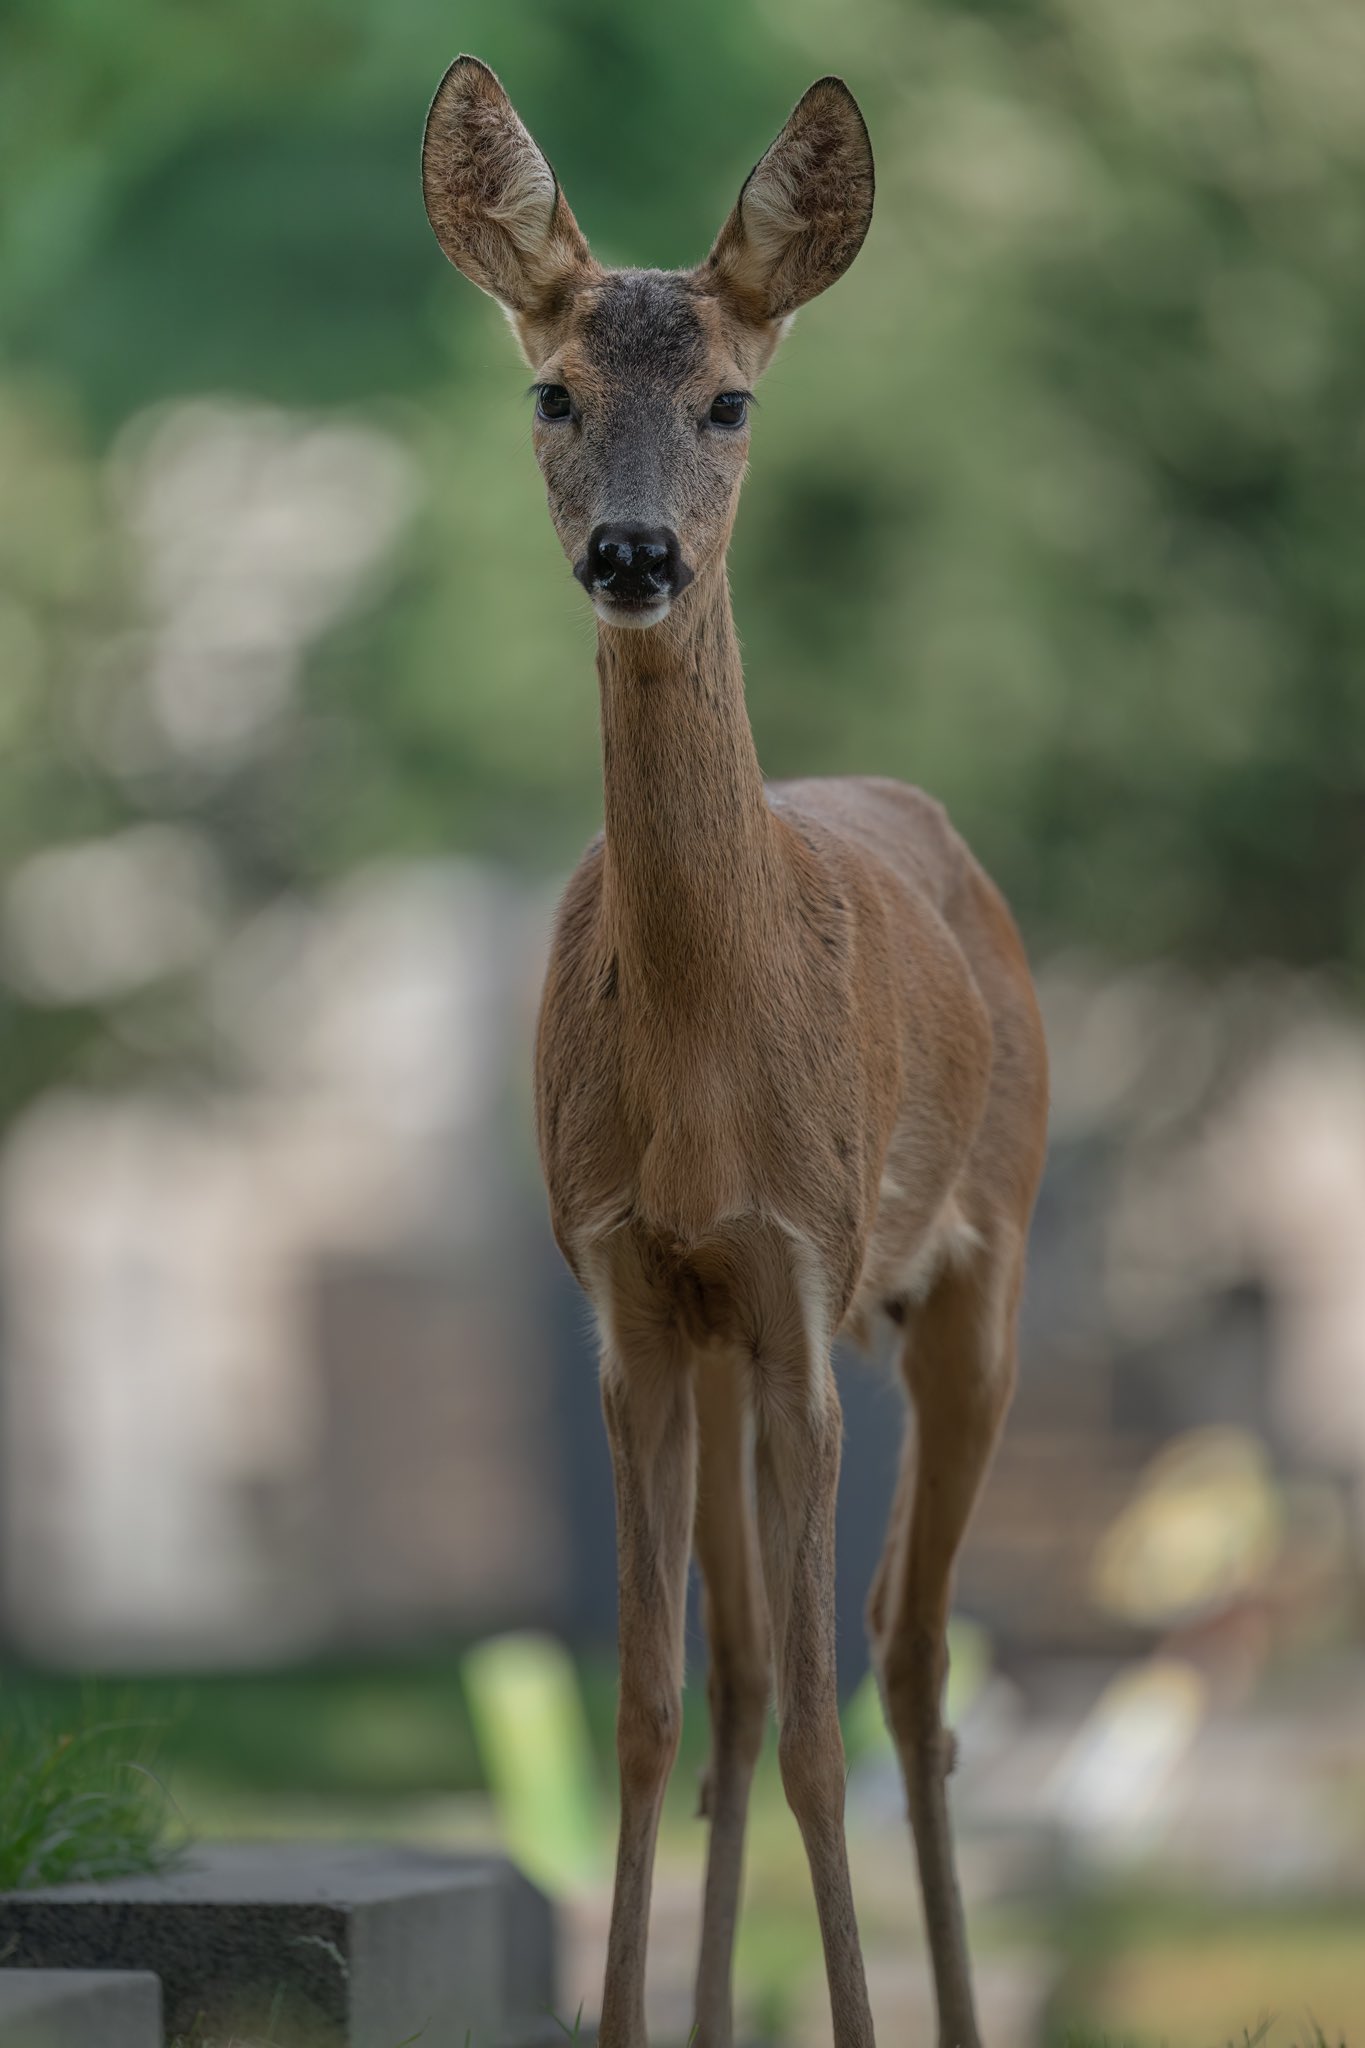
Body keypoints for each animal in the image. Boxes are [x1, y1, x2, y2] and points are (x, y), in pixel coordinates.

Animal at [422, 57, 1049, 2048]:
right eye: (549, 389)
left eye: (731, 397)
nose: (636, 554)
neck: (701, 1099)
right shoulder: (635, 1300)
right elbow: (646, 1710)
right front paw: (628, 2018)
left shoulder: (799, 1280)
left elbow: (826, 1742)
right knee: (761, 1675)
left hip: (979, 1268)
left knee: (908, 1665)